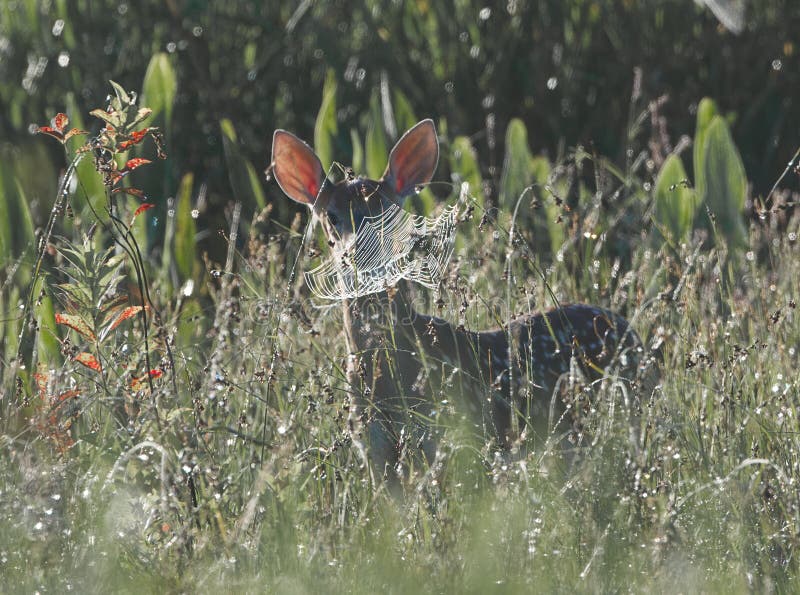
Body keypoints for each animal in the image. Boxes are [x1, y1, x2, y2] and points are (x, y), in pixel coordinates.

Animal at [271, 119, 650, 483]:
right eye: (331, 217)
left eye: (388, 213)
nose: (358, 253)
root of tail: (633, 333)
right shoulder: (375, 454)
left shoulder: (447, 437)